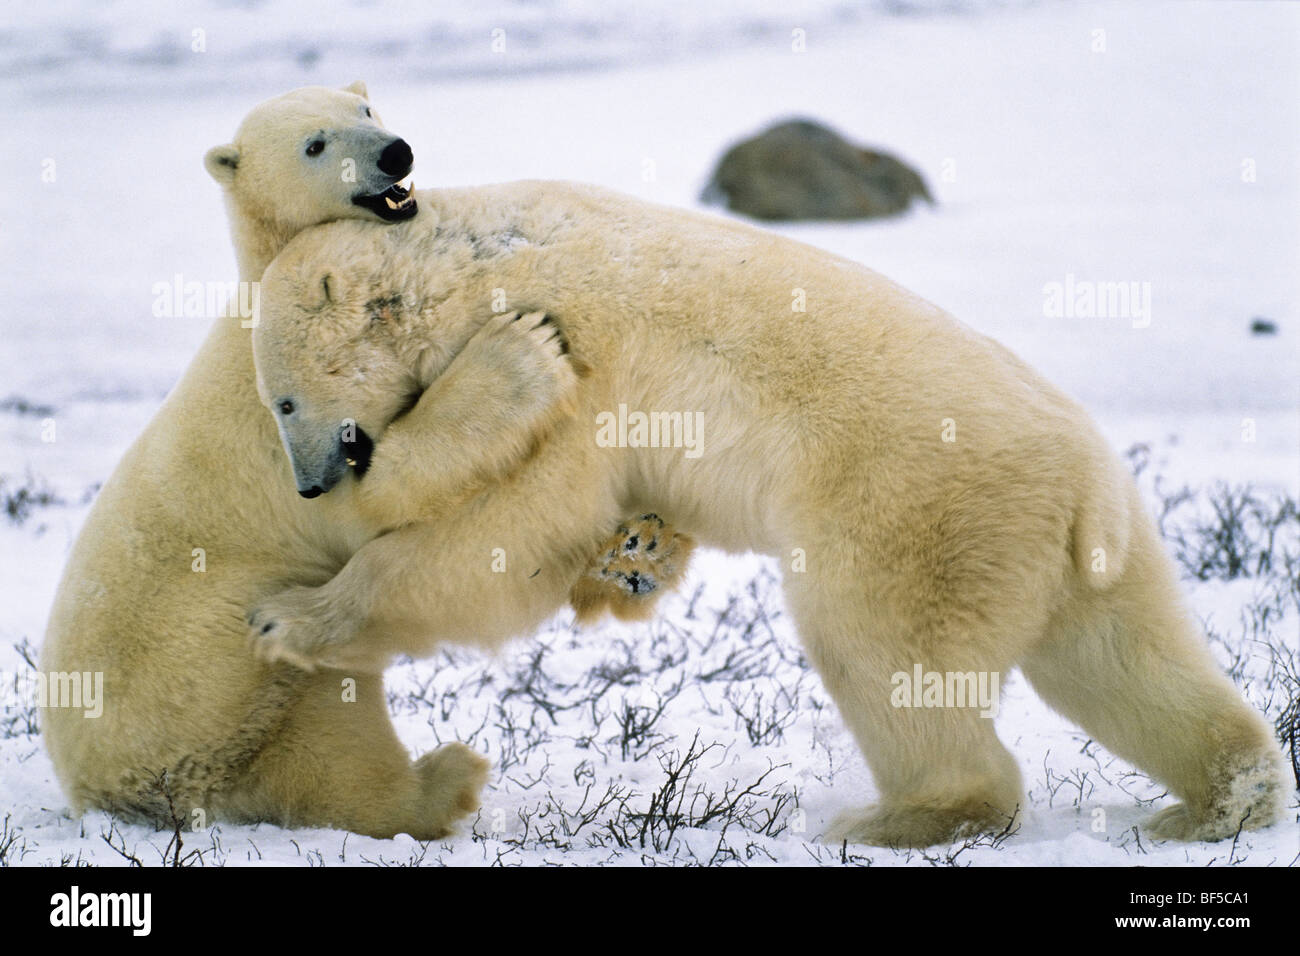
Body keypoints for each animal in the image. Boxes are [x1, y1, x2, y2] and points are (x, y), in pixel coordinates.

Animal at [35, 85, 676, 842]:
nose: (395, 153)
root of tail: (102, 793)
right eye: (316, 144)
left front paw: (634, 553)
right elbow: (379, 493)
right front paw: (519, 357)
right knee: (338, 750)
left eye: (365, 111)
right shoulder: (286, 428)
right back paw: (447, 781)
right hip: (222, 698)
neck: (269, 289)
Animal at [245, 180, 1289, 853]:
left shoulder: (586, 366)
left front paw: (288, 620)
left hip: (917, 505)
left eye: (284, 401)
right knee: (1123, 661)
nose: (309, 486)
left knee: (882, 649)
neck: (473, 264)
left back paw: (895, 818)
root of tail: (1087, 486)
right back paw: (1215, 803)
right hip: (1086, 547)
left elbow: (507, 531)